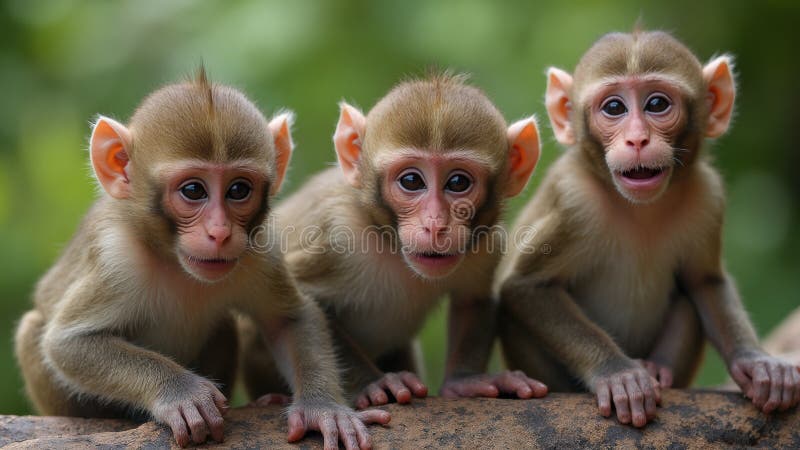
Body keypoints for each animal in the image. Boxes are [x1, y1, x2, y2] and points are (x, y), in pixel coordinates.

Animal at [13, 69, 389, 450]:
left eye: (239, 190)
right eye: (193, 190)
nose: (220, 232)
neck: (173, 261)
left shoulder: (259, 251)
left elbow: (290, 319)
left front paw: (322, 408)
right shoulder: (115, 257)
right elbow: (69, 343)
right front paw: (181, 392)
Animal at [240, 73, 549, 410]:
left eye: (458, 182)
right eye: (411, 181)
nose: (435, 224)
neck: (390, 242)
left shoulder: (485, 242)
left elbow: (473, 299)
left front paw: (465, 380)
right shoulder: (336, 230)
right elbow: (304, 305)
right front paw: (374, 384)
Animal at [495, 30, 800, 428]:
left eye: (656, 104)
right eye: (614, 108)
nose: (637, 140)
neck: (640, 209)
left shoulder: (708, 195)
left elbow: (705, 282)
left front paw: (756, 361)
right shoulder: (574, 200)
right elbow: (526, 287)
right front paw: (619, 373)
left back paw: (659, 370)